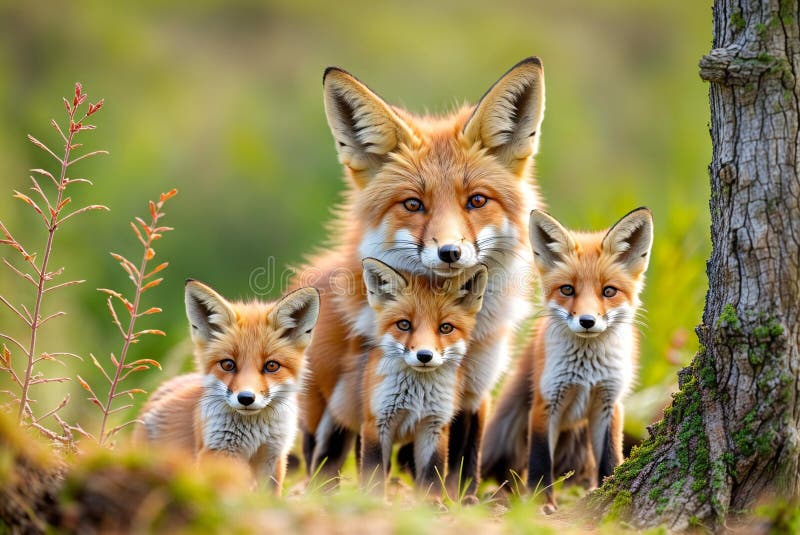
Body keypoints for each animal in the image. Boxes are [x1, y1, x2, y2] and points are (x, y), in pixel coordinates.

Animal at [132, 280, 320, 494]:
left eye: (271, 366)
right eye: (228, 364)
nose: (246, 398)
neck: (255, 432)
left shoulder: (273, 454)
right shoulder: (218, 451)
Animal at [293, 57, 545, 499]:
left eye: (476, 200)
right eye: (413, 204)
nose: (450, 253)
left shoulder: (473, 396)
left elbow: (464, 467)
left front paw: (459, 504)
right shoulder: (371, 397)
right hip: (323, 409)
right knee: (320, 461)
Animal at [481, 207, 653, 513]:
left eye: (609, 291)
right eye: (567, 290)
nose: (587, 321)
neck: (586, 370)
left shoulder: (609, 402)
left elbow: (611, 457)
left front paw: (607, 490)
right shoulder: (547, 401)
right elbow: (540, 460)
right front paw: (540, 503)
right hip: (507, 429)